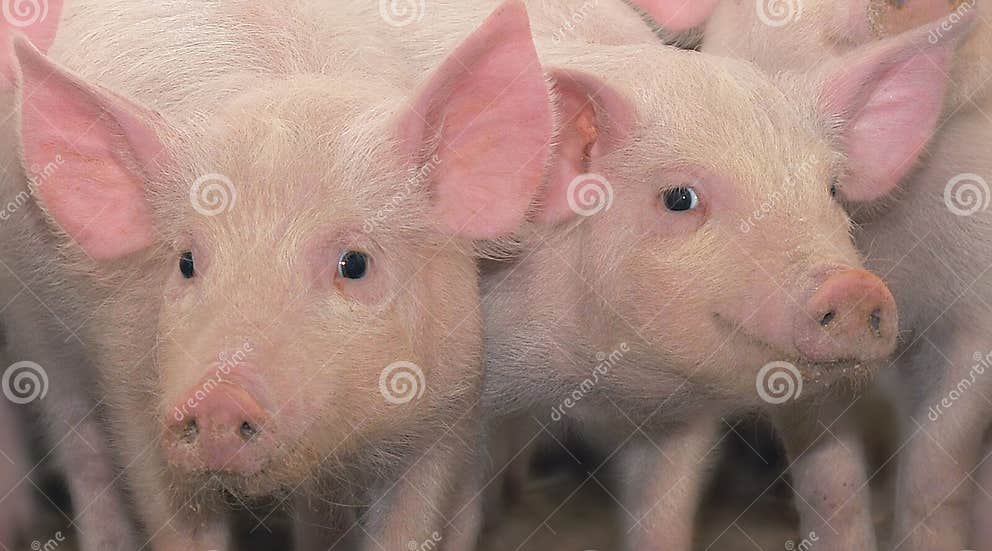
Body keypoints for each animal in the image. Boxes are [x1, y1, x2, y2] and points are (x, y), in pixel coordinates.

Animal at [0, 0, 555, 549]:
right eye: (186, 262)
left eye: (355, 263)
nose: (218, 399)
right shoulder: (131, 383)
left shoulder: (450, 396)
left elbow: (411, 520)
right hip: (34, 329)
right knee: (80, 449)